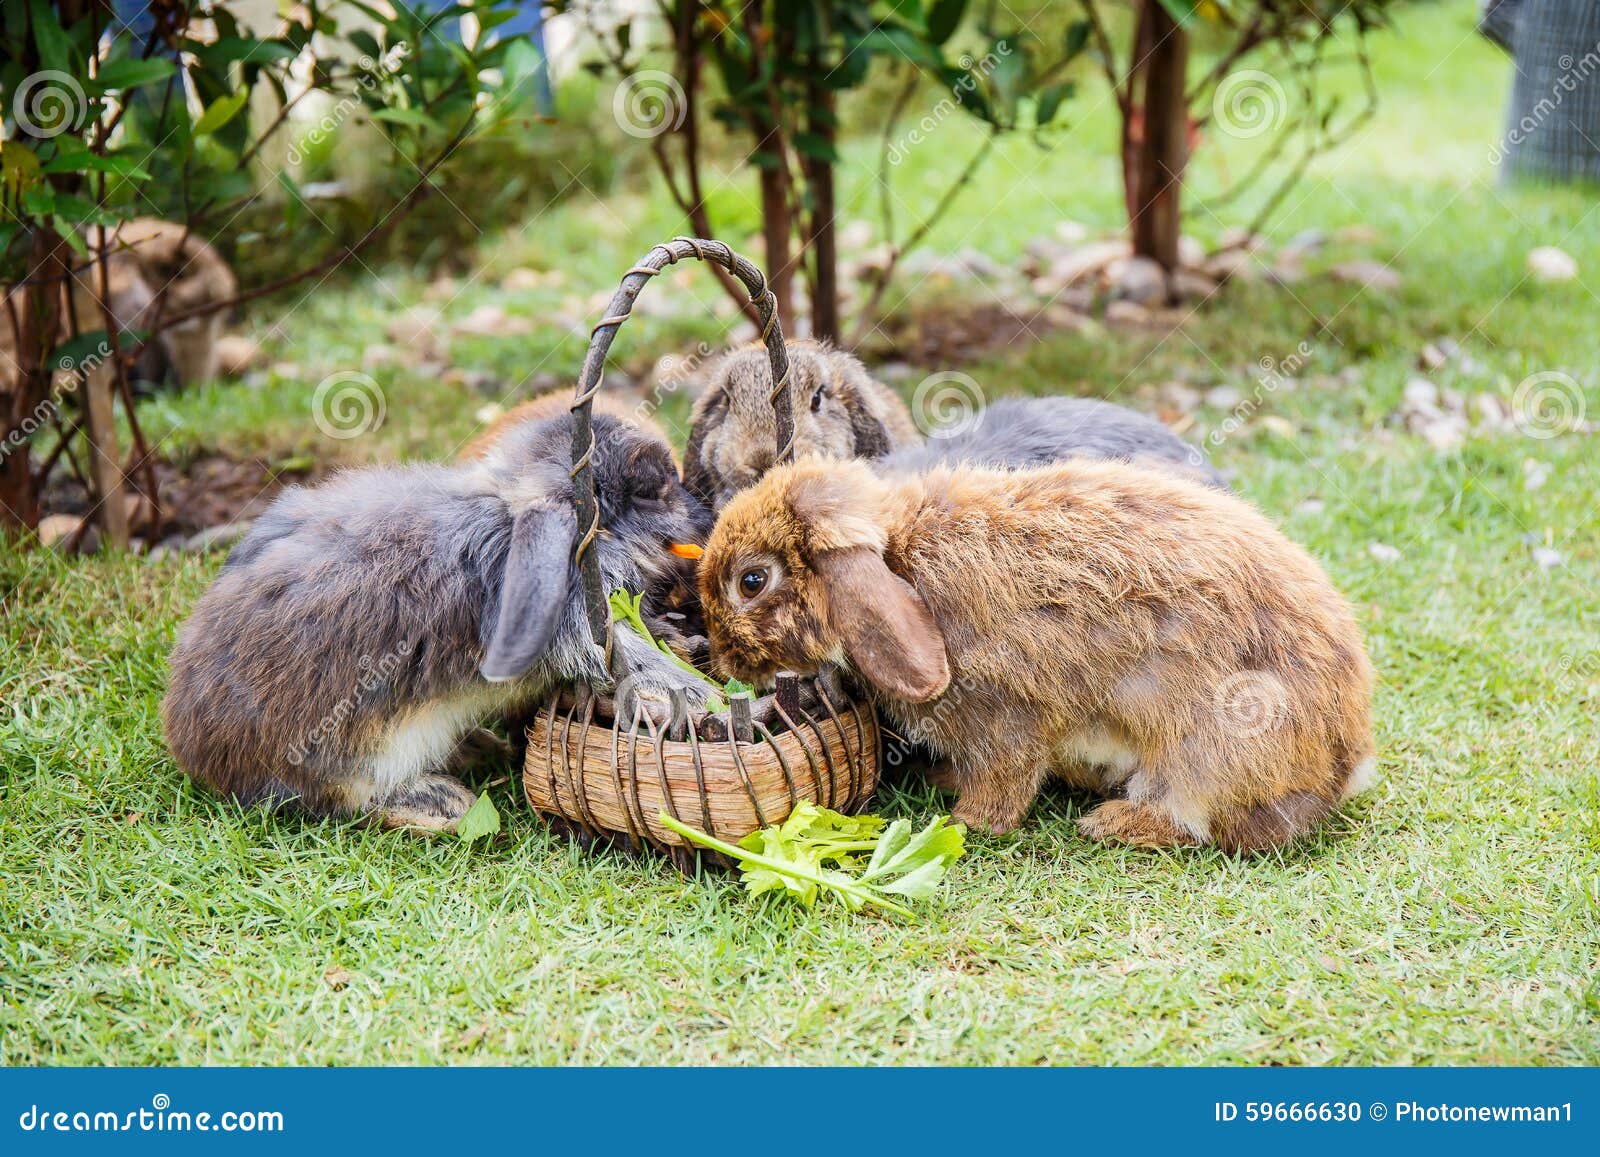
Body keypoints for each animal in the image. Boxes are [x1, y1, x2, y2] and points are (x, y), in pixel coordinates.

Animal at [163, 410, 714, 832]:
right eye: (649, 491)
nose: (705, 520)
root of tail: (192, 749)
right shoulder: (580, 624)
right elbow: (626, 656)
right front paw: (698, 697)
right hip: (359, 750)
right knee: (343, 797)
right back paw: (443, 802)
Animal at [698, 456, 1375, 853]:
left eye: (751, 581)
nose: (722, 661)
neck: (899, 559)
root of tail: (1346, 759)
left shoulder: (1005, 715)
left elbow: (1005, 780)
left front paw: (964, 823)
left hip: (1218, 746)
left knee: (1206, 821)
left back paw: (1113, 823)